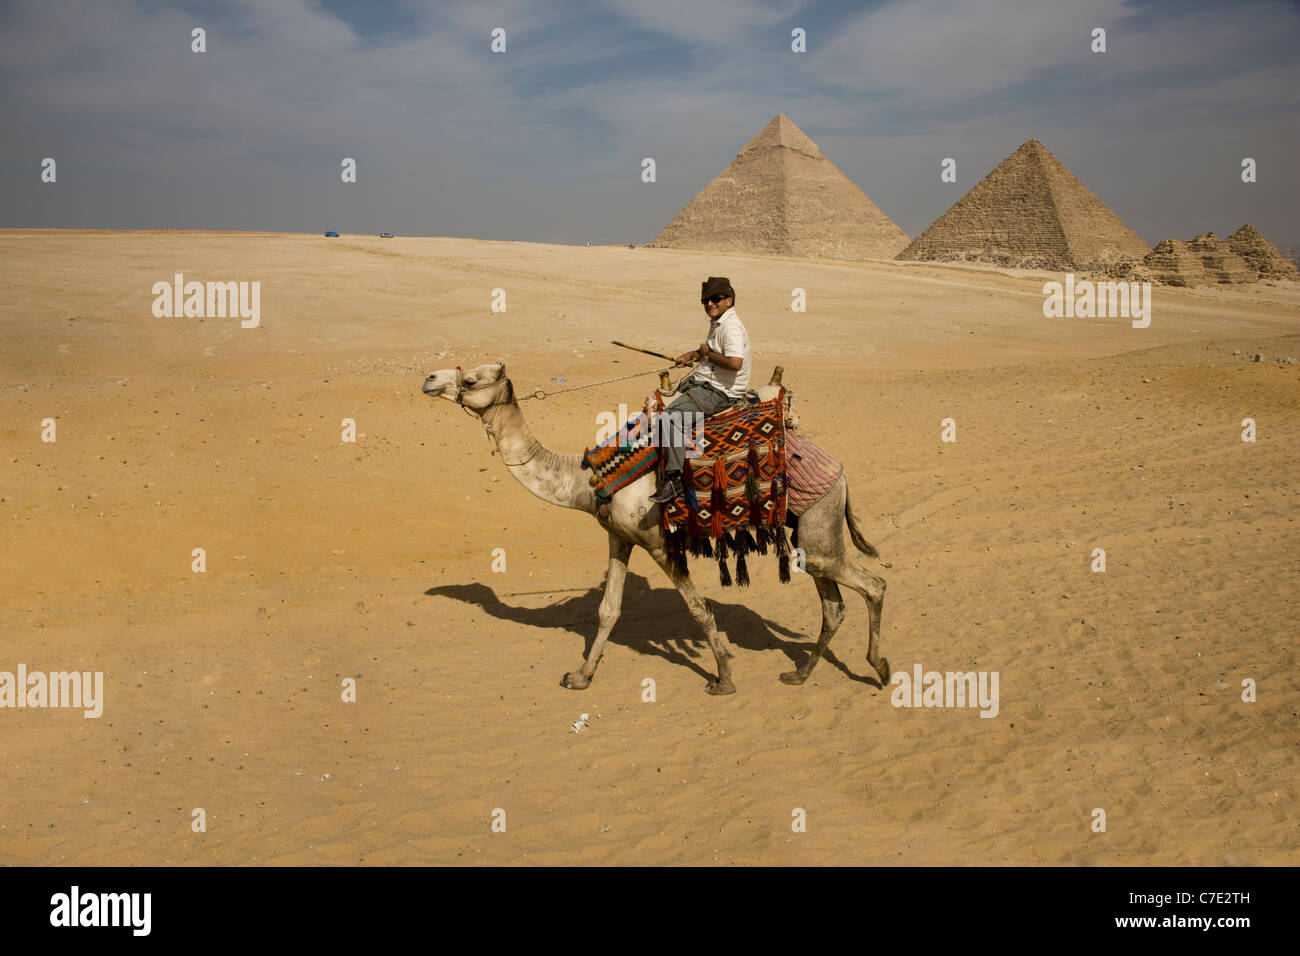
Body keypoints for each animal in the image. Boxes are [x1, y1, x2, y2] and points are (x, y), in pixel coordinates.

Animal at [421, 362, 889, 695]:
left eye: (472, 378)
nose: (430, 378)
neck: (587, 480)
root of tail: (841, 472)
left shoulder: (659, 544)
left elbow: (699, 607)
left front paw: (723, 677)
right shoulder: (619, 537)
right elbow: (608, 609)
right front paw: (580, 676)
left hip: (821, 521)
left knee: (875, 585)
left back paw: (880, 669)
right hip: (812, 534)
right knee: (833, 605)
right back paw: (800, 675)